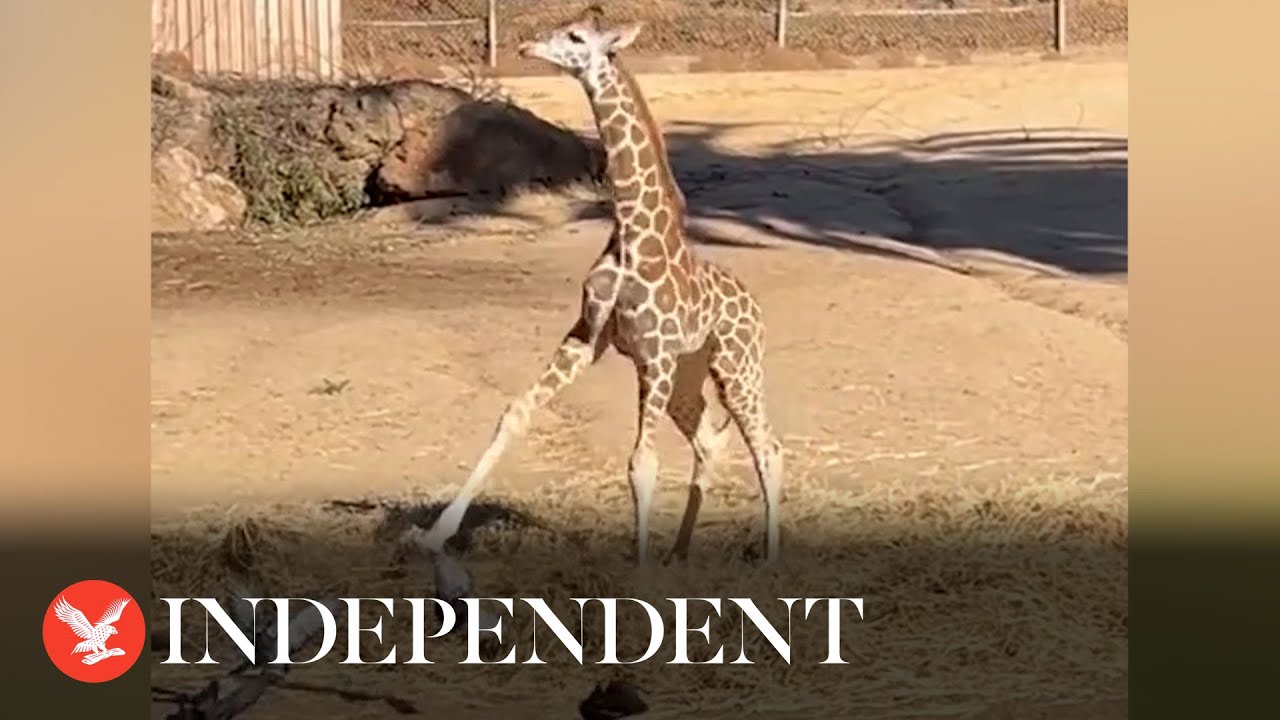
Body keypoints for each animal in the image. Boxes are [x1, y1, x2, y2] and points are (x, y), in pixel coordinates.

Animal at [419, 7, 783, 565]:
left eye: (575, 37)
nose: (526, 48)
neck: (631, 232)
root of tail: (755, 308)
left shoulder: (652, 353)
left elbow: (641, 464)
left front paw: (640, 573)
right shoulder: (589, 336)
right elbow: (515, 411)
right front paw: (435, 534)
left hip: (735, 367)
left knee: (767, 445)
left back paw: (770, 556)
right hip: (687, 376)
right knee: (708, 441)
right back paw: (680, 552)